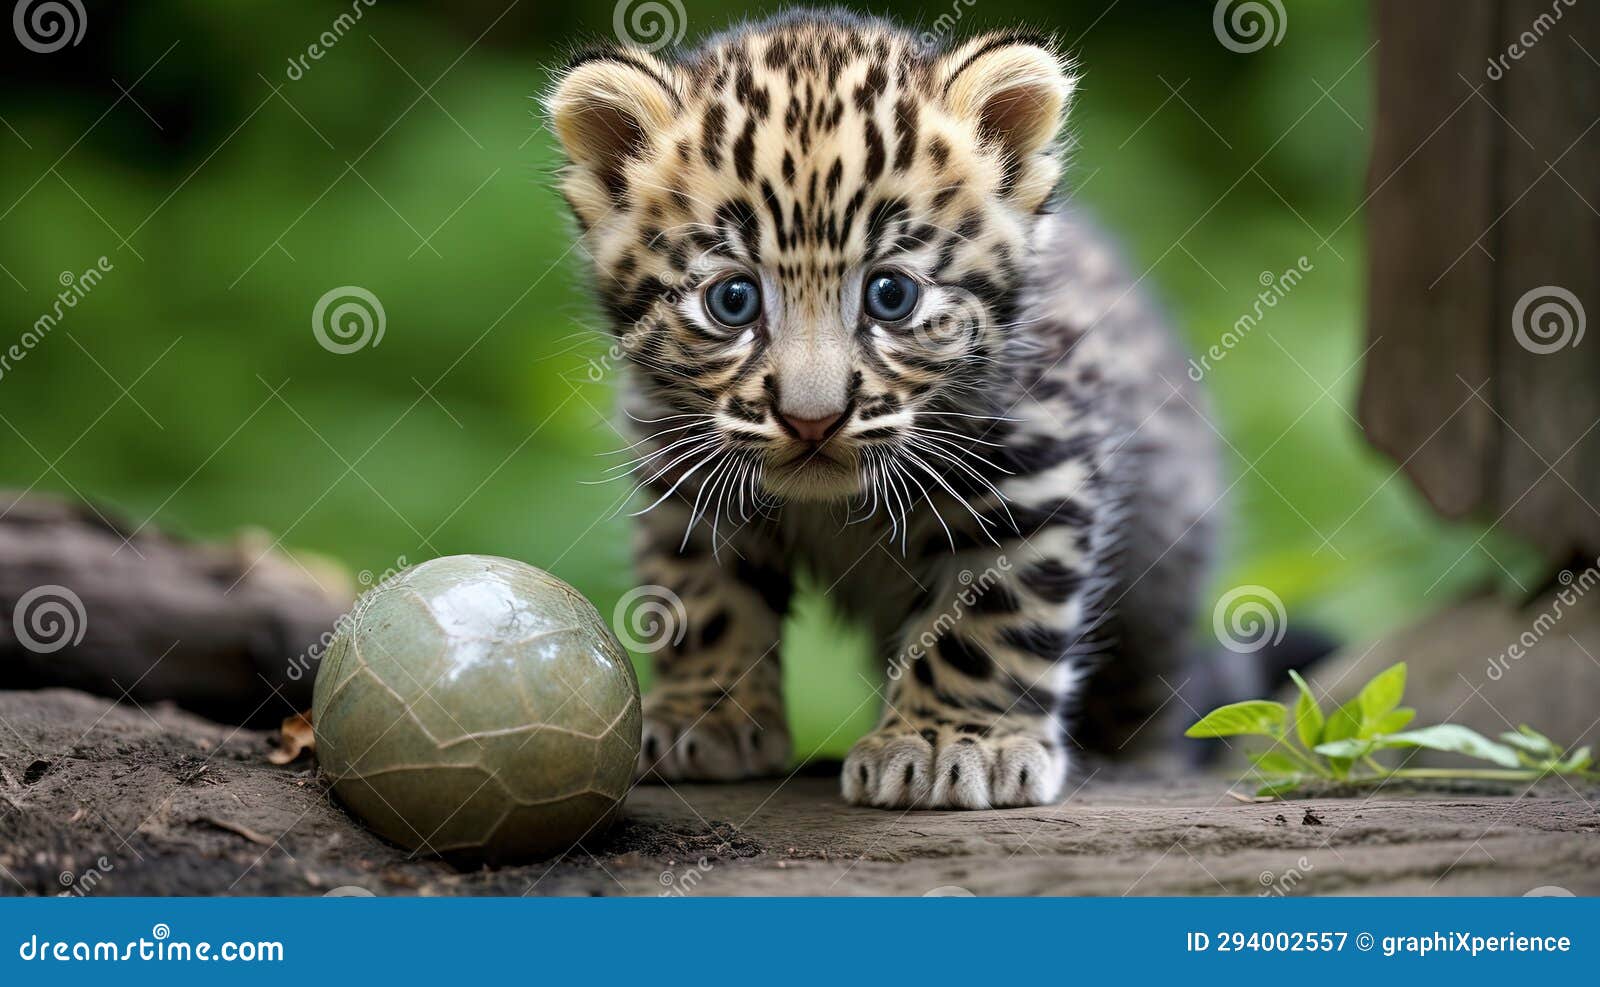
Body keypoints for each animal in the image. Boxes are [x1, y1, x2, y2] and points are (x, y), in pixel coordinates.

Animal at [543, 9, 1222, 809]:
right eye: (732, 300)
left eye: (891, 295)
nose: (812, 418)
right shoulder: (681, 468)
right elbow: (702, 595)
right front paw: (704, 717)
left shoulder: (1039, 469)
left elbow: (989, 619)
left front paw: (950, 741)